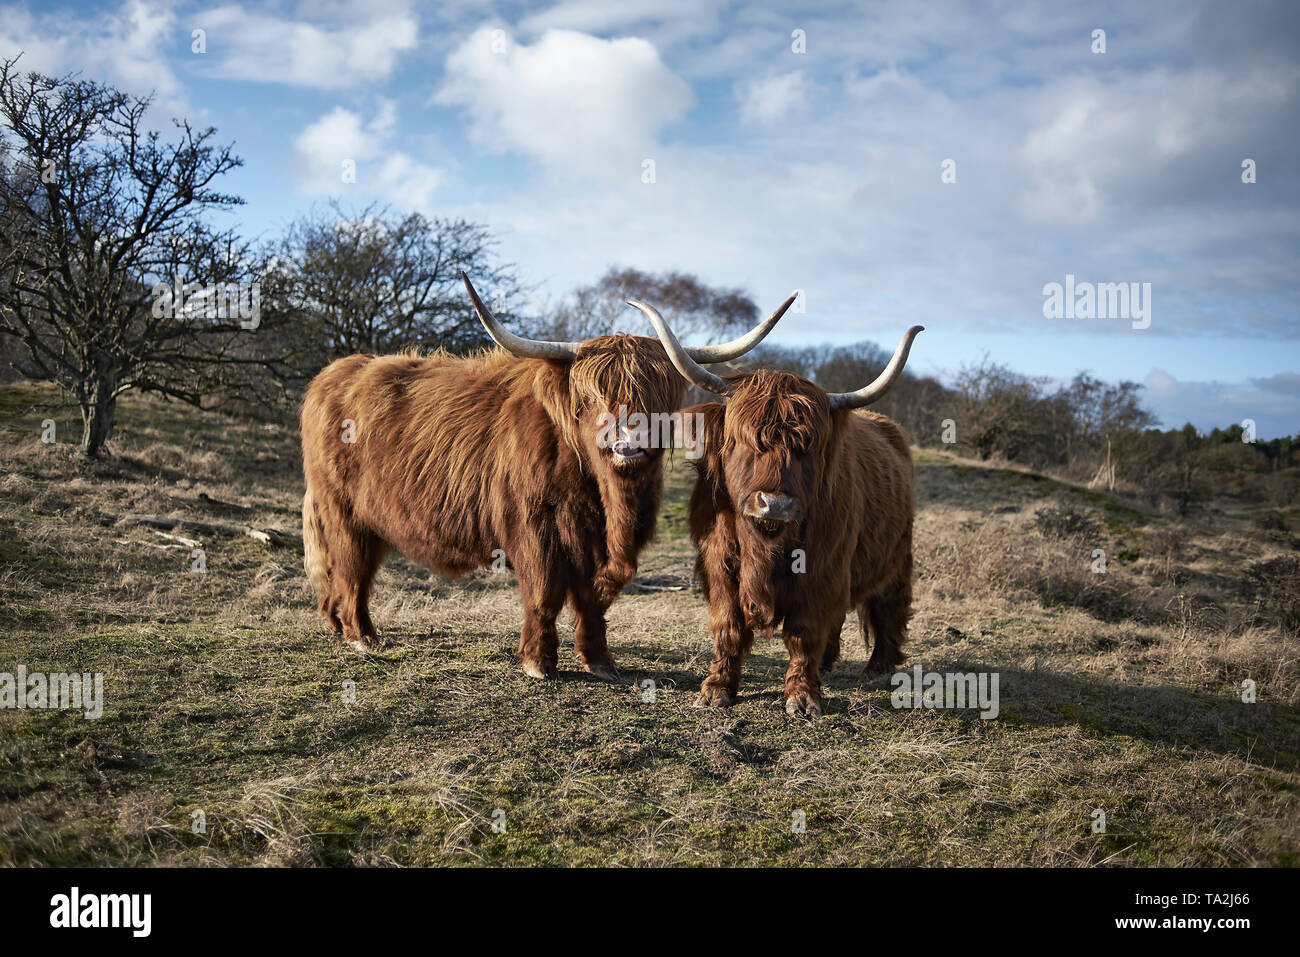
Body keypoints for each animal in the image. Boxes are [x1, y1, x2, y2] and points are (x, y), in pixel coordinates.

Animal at [300, 273, 793, 681]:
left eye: (657, 394)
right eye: (592, 397)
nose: (628, 437)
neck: (607, 496)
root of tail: (336, 372)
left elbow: (594, 595)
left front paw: (600, 661)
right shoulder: (536, 525)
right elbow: (545, 591)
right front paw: (538, 662)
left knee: (353, 570)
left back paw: (340, 626)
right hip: (341, 510)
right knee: (351, 568)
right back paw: (361, 637)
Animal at [626, 299, 922, 716]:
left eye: (806, 447)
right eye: (745, 440)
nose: (775, 504)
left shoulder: (821, 568)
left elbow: (804, 632)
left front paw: (803, 696)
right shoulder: (719, 564)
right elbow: (729, 627)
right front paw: (717, 689)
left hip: (895, 557)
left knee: (889, 606)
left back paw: (878, 669)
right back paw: (829, 663)